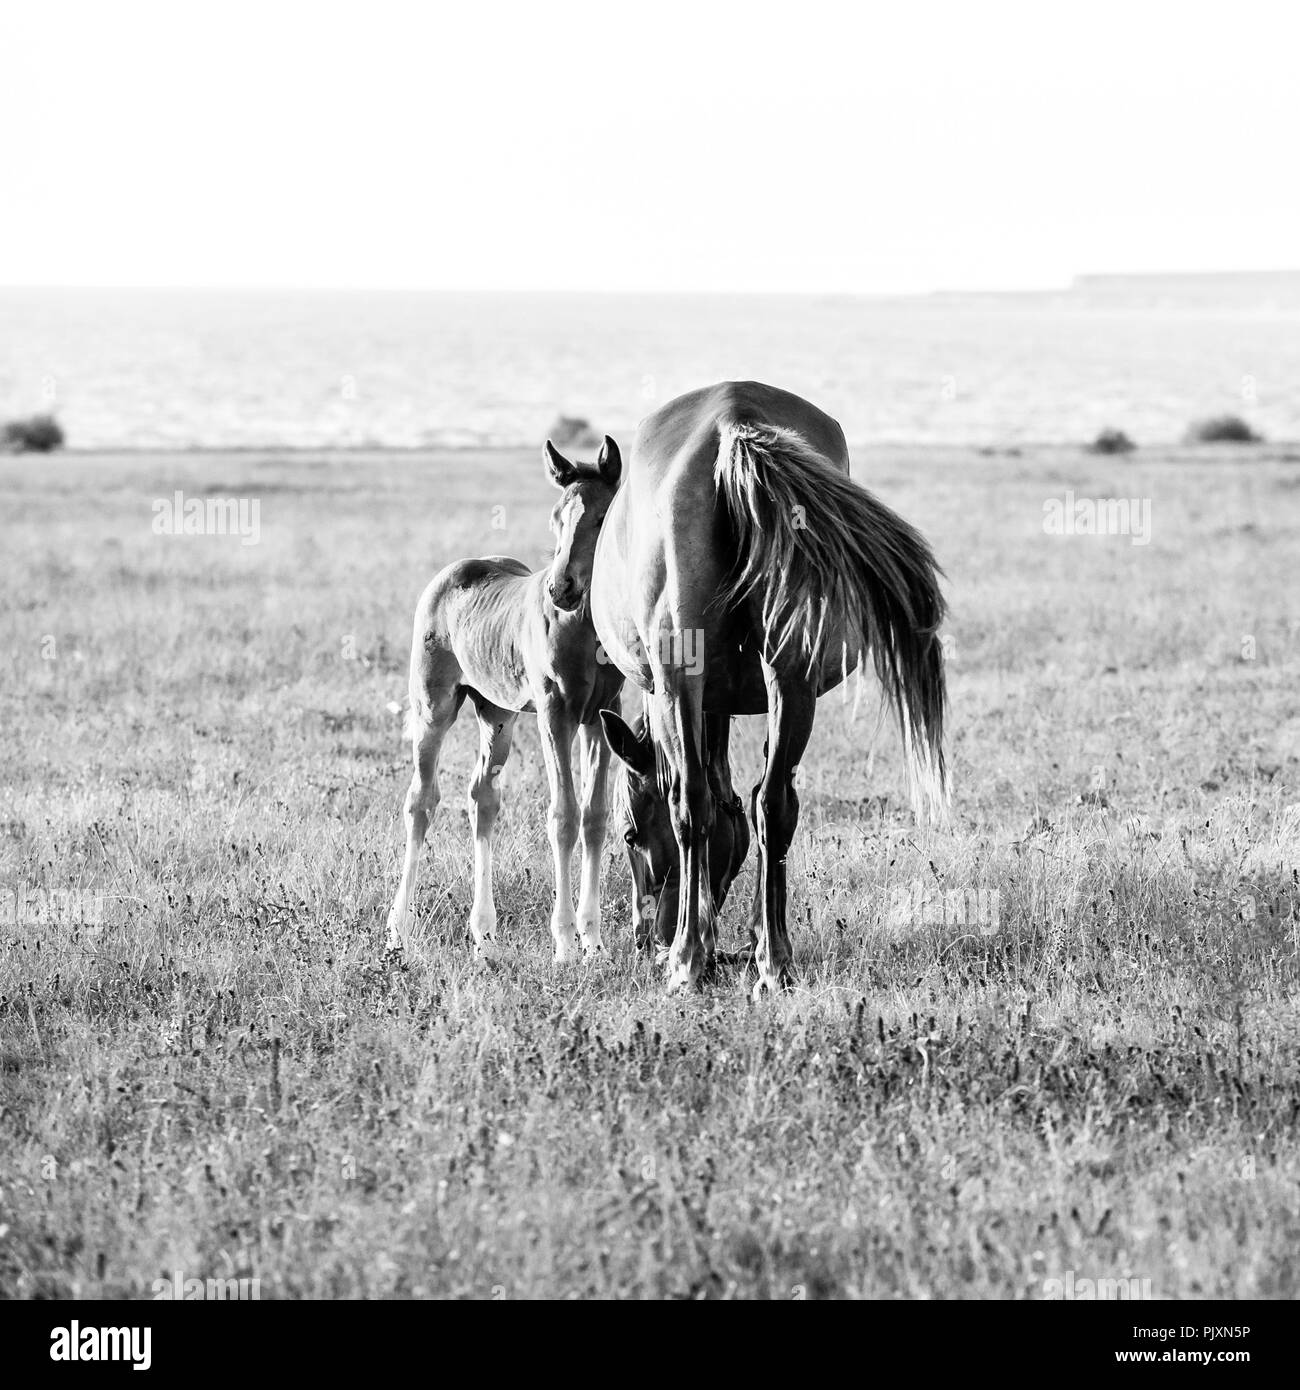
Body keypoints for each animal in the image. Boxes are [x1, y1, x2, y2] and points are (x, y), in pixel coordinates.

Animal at [385, 436, 624, 962]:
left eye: (602, 516)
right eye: (557, 516)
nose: (561, 588)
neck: (582, 630)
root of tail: (453, 572)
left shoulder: (602, 714)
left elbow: (595, 816)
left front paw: (594, 940)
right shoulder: (555, 712)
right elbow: (563, 815)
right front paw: (564, 945)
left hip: (498, 714)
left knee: (482, 798)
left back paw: (484, 932)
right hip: (434, 707)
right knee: (421, 800)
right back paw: (397, 929)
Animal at [592, 381, 948, 995]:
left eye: (631, 835)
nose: (648, 938)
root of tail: (732, 419)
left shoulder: (675, 695)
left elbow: (701, 802)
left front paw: (699, 942)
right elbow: (744, 806)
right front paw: (751, 936)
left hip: (680, 679)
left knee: (693, 804)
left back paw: (688, 961)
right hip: (793, 675)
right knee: (774, 804)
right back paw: (773, 962)